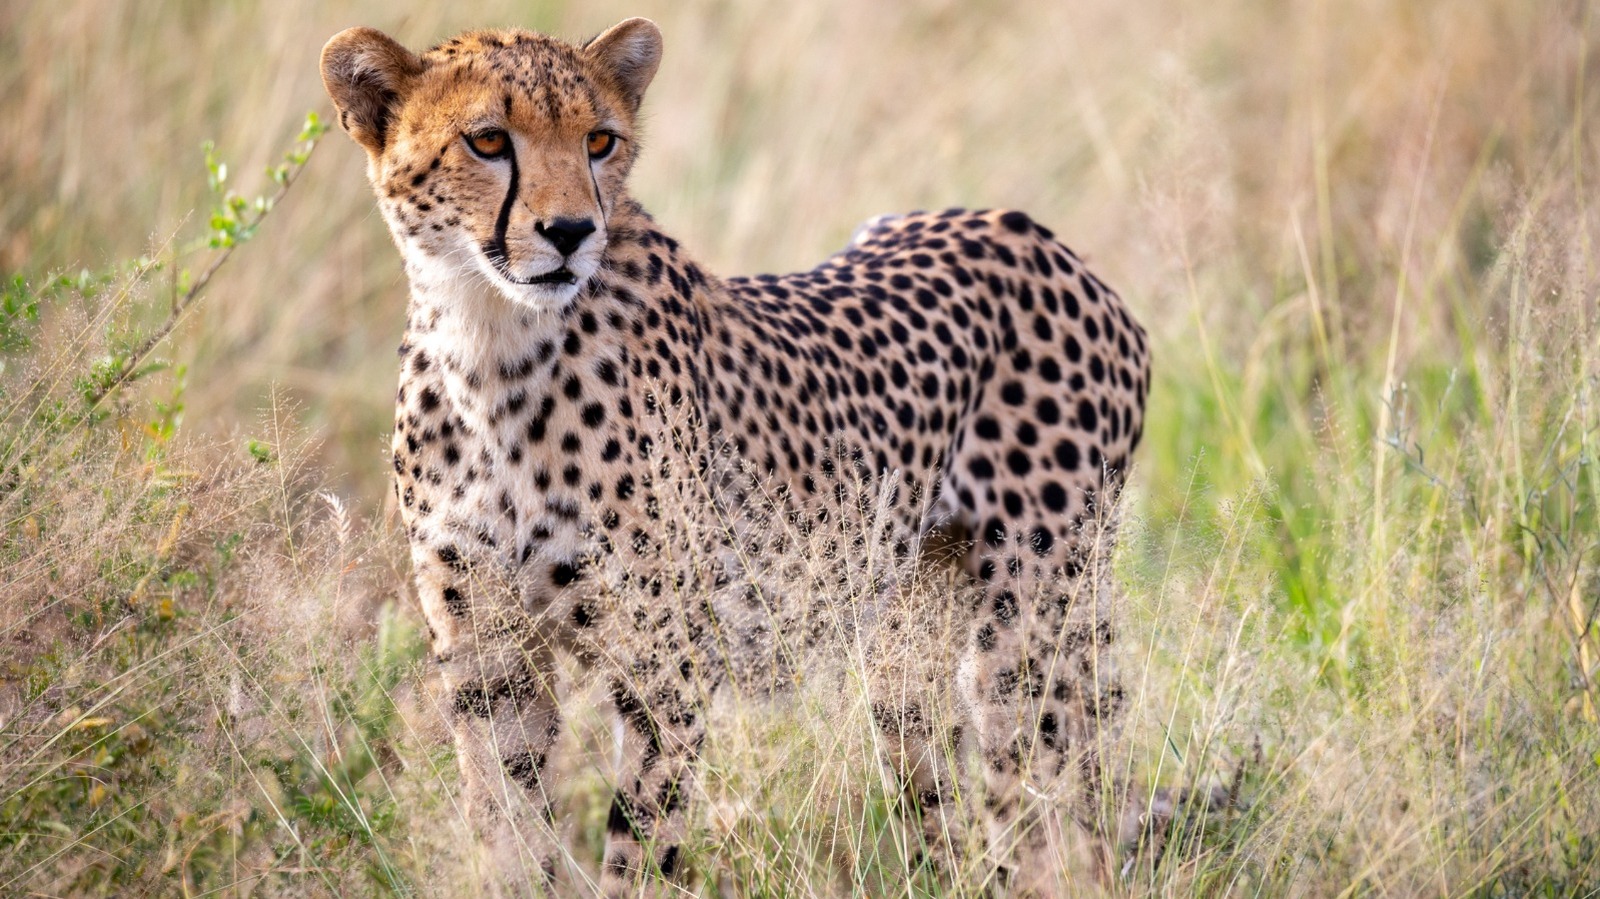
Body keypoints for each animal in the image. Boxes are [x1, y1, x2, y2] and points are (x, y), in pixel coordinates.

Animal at [322, 17, 1150, 896]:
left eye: (599, 140)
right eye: (487, 140)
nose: (572, 232)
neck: (492, 344)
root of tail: (1036, 235)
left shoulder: (669, 663)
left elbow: (640, 842)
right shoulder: (489, 660)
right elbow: (507, 825)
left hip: (1030, 632)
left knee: (1048, 803)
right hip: (907, 636)